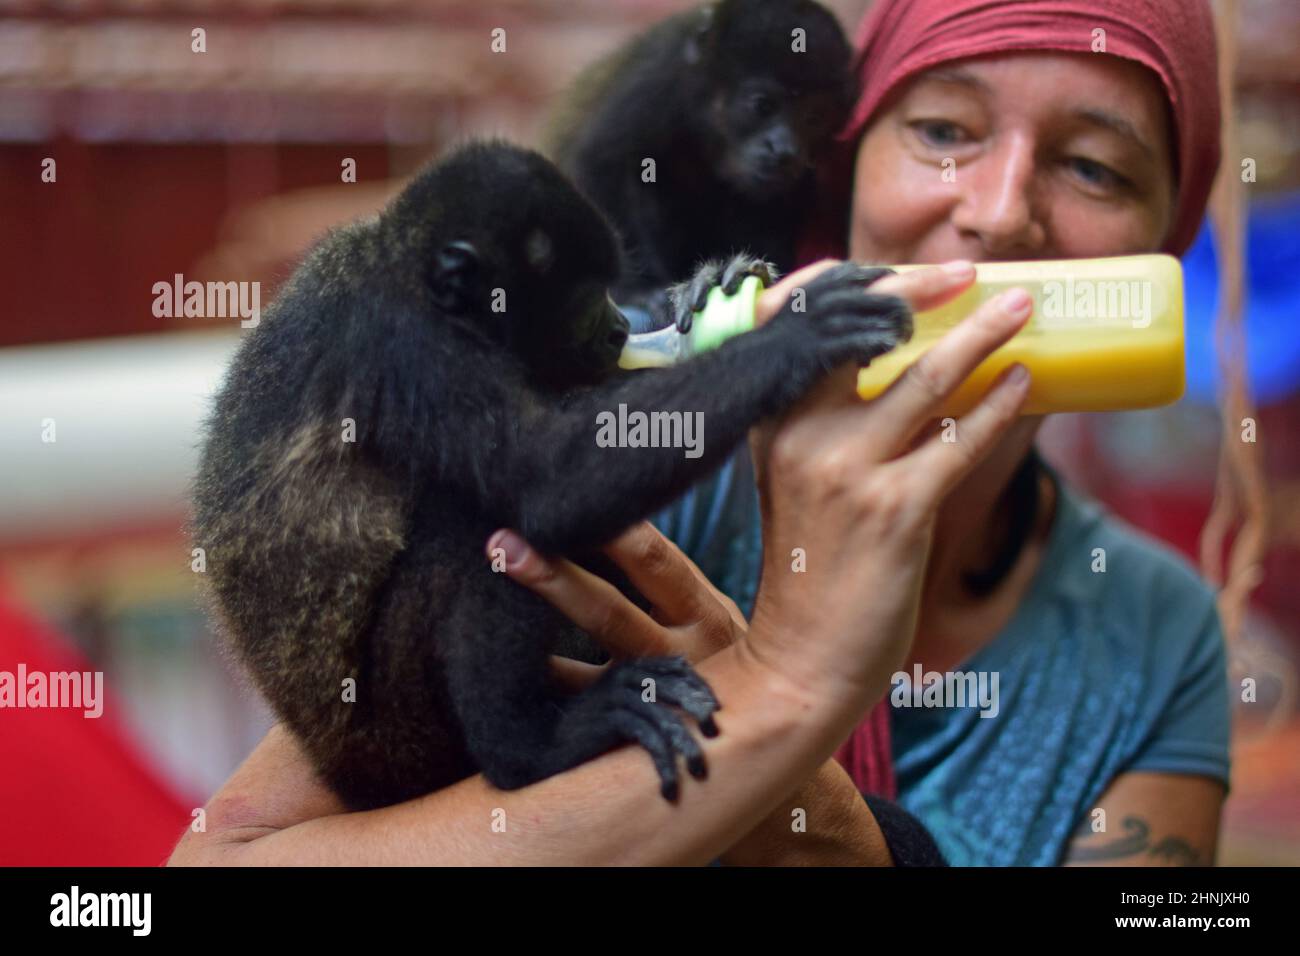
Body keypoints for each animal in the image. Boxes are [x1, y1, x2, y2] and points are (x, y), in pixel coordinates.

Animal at [191, 140, 910, 812]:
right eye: (583, 296)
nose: (619, 323)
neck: (409, 268)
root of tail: (344, 775)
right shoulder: (407, 340)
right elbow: (549, 484)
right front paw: (795, 337)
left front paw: (712, 284)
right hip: (400, 736)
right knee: (473, 525)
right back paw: (530, 750)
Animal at [544, 0, 854, 324]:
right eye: (762, 105)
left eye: (813, 119)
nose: (784, 149)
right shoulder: (654, 81)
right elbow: (601, 163)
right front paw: (638, 290)